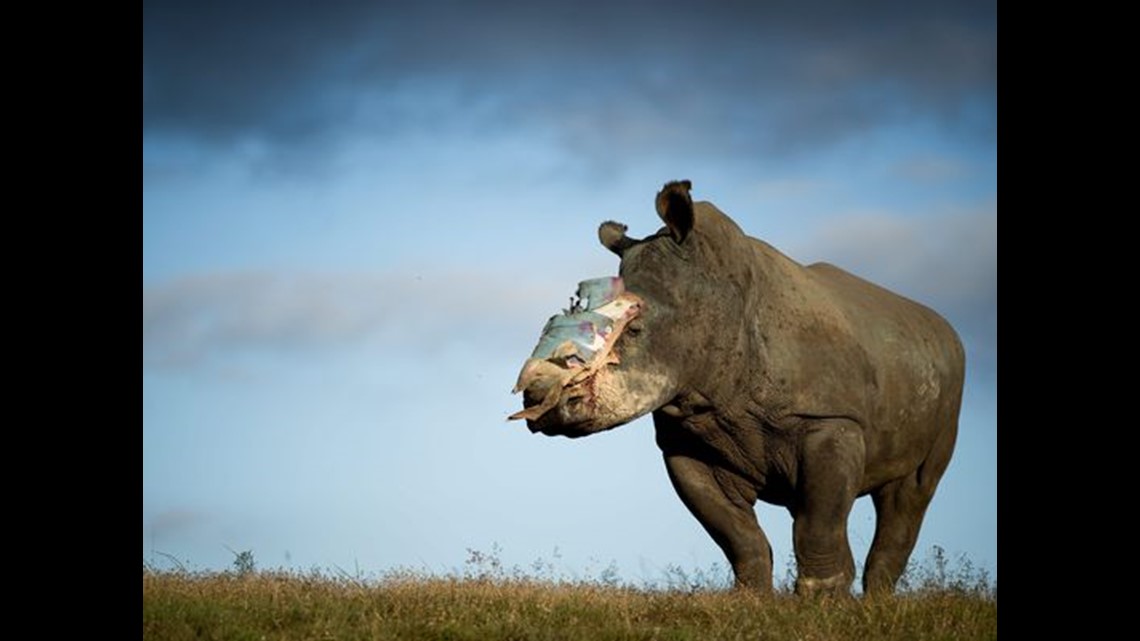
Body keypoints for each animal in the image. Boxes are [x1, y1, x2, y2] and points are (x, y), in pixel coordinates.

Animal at [510, 180, 965, 595]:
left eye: (634, 330)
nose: (539, 398)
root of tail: (943, 329)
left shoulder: (831, 419)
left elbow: (819, 521)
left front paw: (823, 603)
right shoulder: (686, 440)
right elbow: (736, 534)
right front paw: (751, 600)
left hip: (949, 378)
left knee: (911, 493)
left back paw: (877, 602)